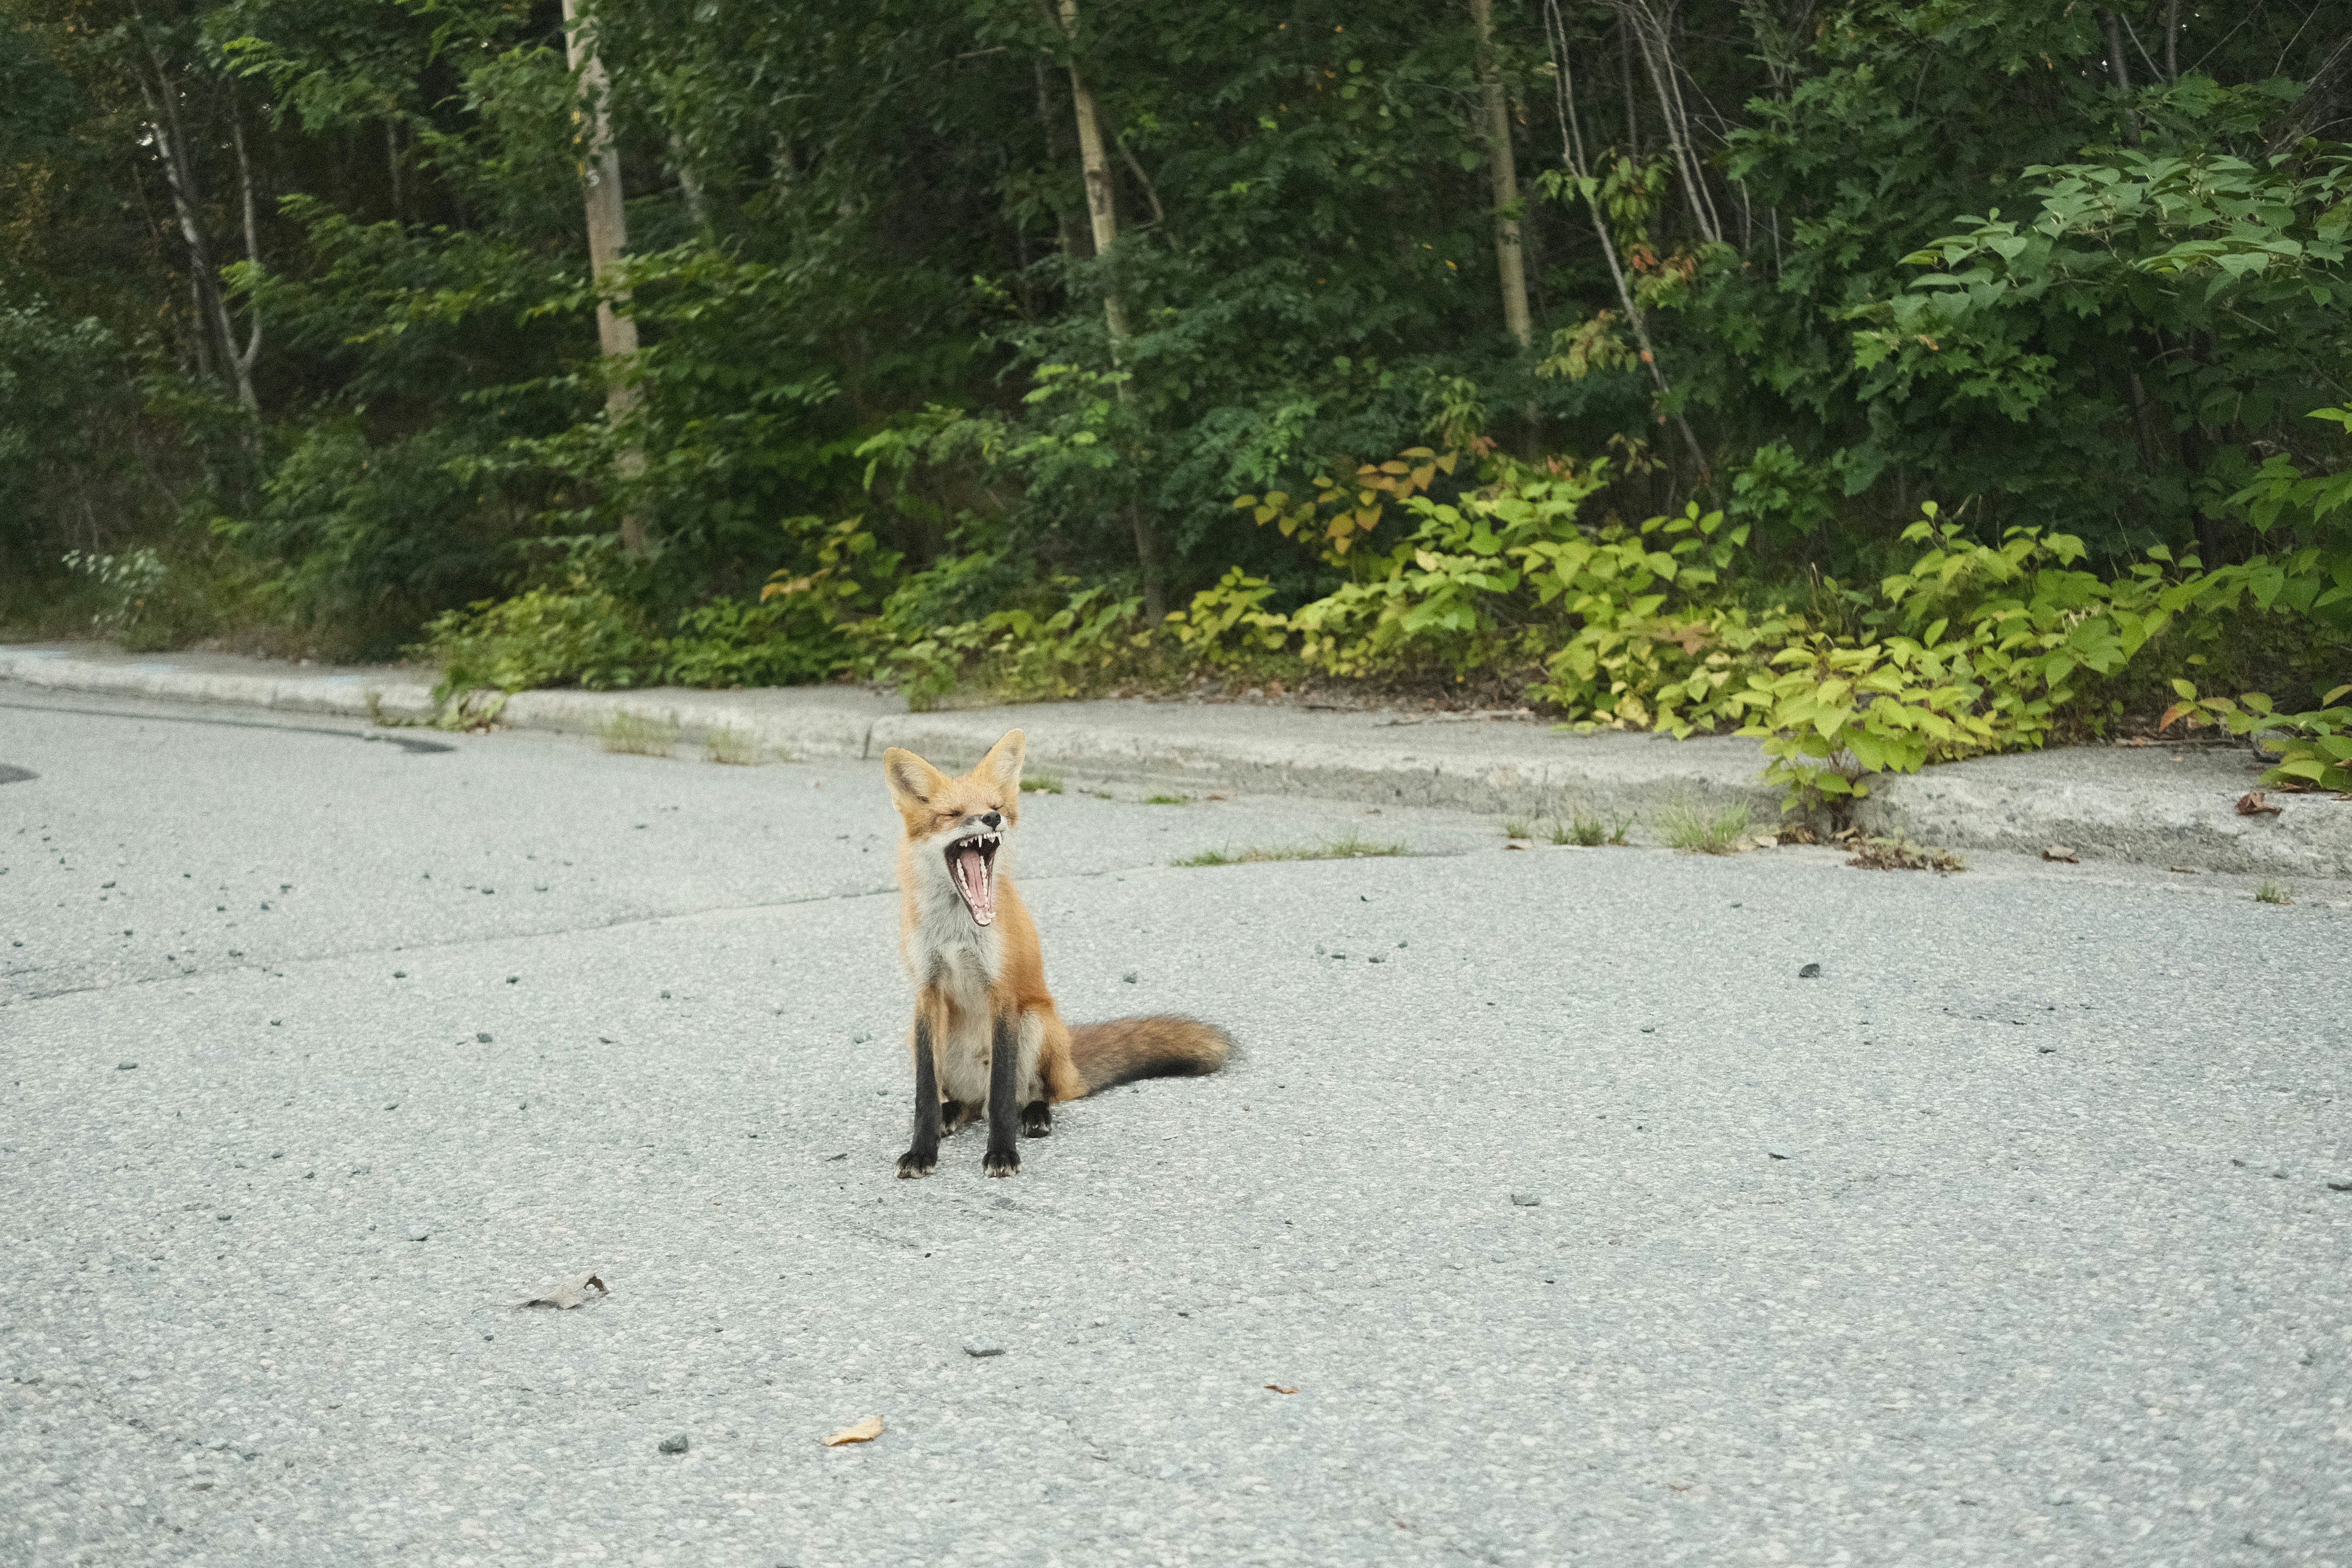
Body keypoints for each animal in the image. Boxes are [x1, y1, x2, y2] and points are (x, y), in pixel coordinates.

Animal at [881, 728, 1232, 1177]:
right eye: (954, 813)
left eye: (996, 807)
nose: (992, 820)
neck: (957, 932)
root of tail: (1071, 1066)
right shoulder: (927, 992)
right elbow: (925, 1092)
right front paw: (922, 1151)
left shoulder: (1004, 992)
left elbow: (1003, 1091)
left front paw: (1002, 1153)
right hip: (921, 1037)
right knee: (970, 1105)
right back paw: (953, 1113)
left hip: (1035, 1021)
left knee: (1027, 1095)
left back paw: (1035, 1115)